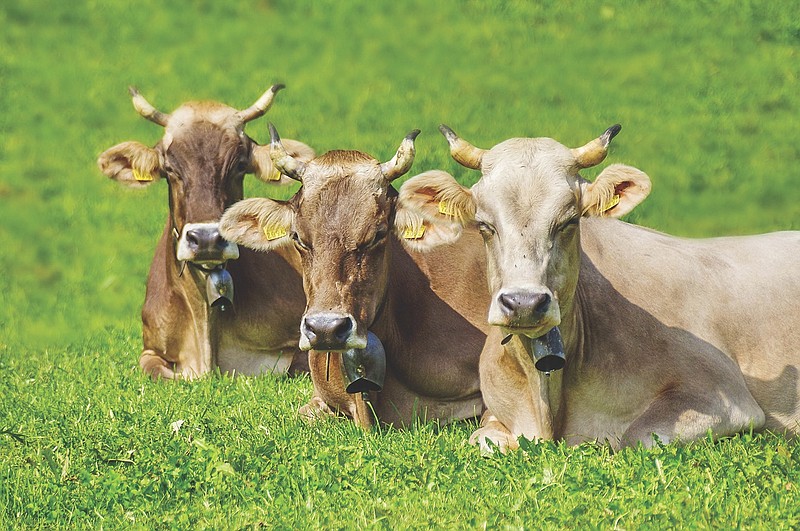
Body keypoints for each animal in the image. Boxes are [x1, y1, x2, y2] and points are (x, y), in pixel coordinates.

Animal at [397, 123, 800, 452]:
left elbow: (634, 437)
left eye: (569, 221)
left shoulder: (721, 392)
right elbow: (483, 439)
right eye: (484, 225)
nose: (524, 303)